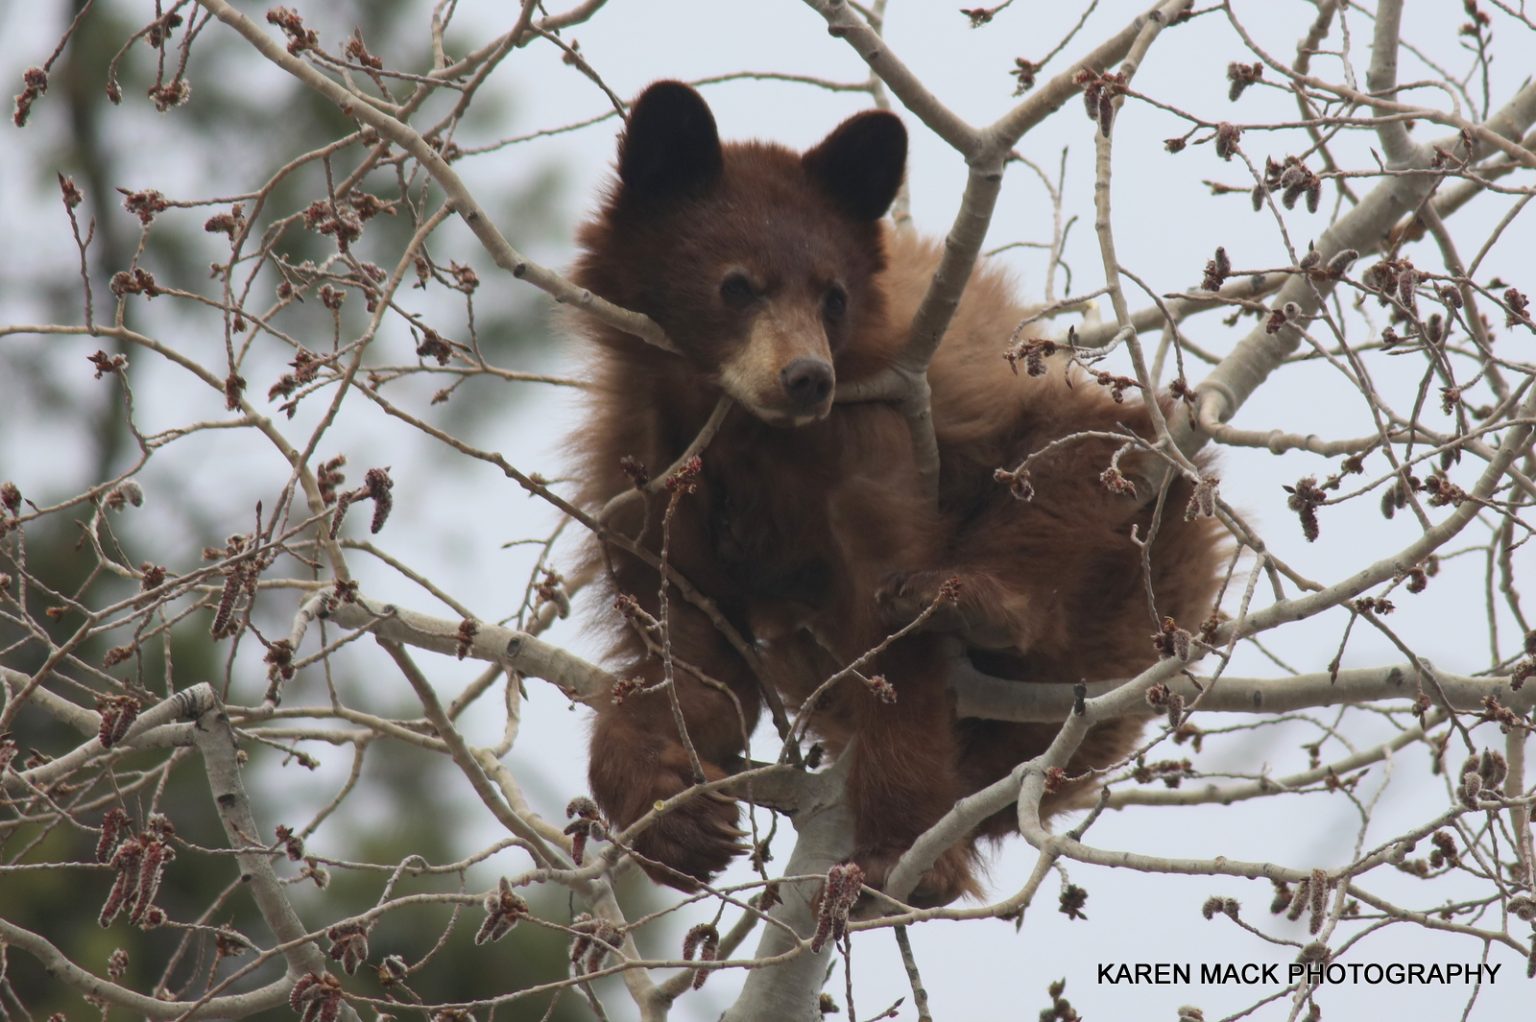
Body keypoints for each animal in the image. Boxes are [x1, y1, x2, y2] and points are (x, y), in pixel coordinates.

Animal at [566, 81, 1222, 906]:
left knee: (1096, 458)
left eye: (834, 296)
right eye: (737, 285)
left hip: (1147, 572)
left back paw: (967, 601)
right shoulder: (645, 478)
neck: (739, 429)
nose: (807, 376)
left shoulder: (878, 435)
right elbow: (686, 655)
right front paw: (666, 807)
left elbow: (890, 638)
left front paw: (901, 848)